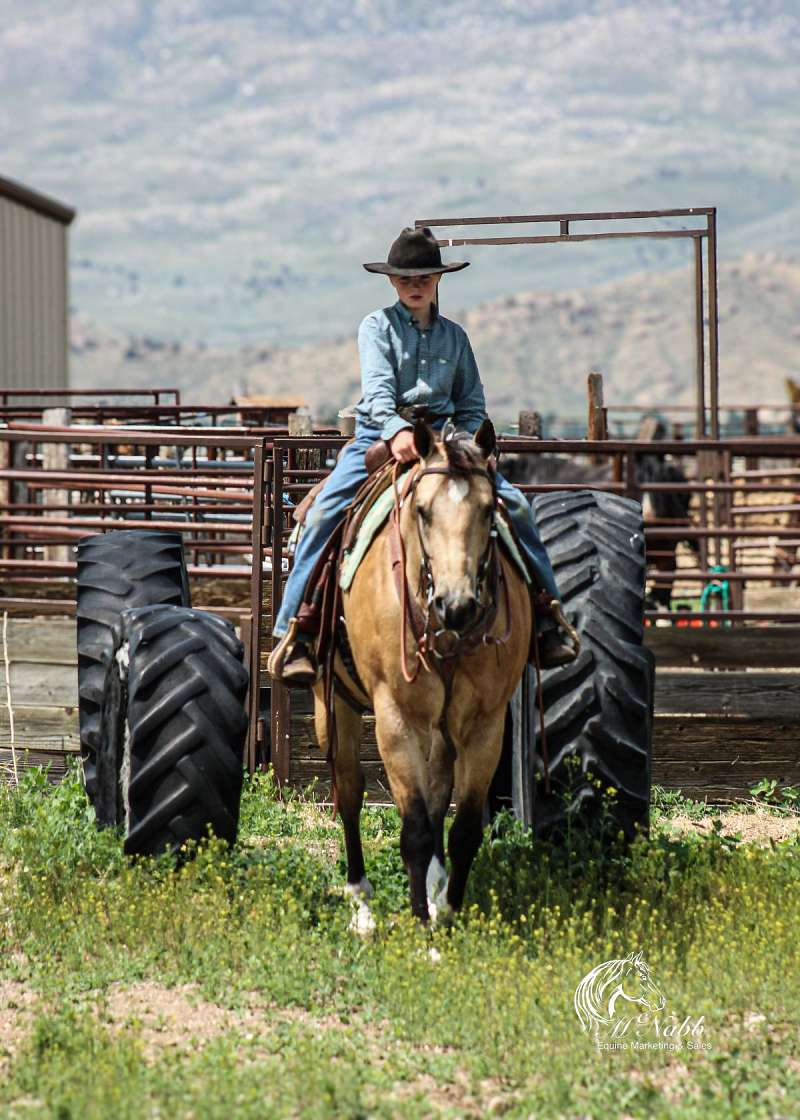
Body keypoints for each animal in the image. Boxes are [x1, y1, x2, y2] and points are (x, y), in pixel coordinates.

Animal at [312, 418, 531, 925]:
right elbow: (412, 827)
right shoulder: (395, 717)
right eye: (423, 511)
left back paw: (432, 883)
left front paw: (446, 912)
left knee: (436, 790)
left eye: (488, 510)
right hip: (334, 704)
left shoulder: (486, 723)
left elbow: (462, 826)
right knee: (349, 790)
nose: (458, 605)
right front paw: (419, 924)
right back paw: (361, 904)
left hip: (441, 728)